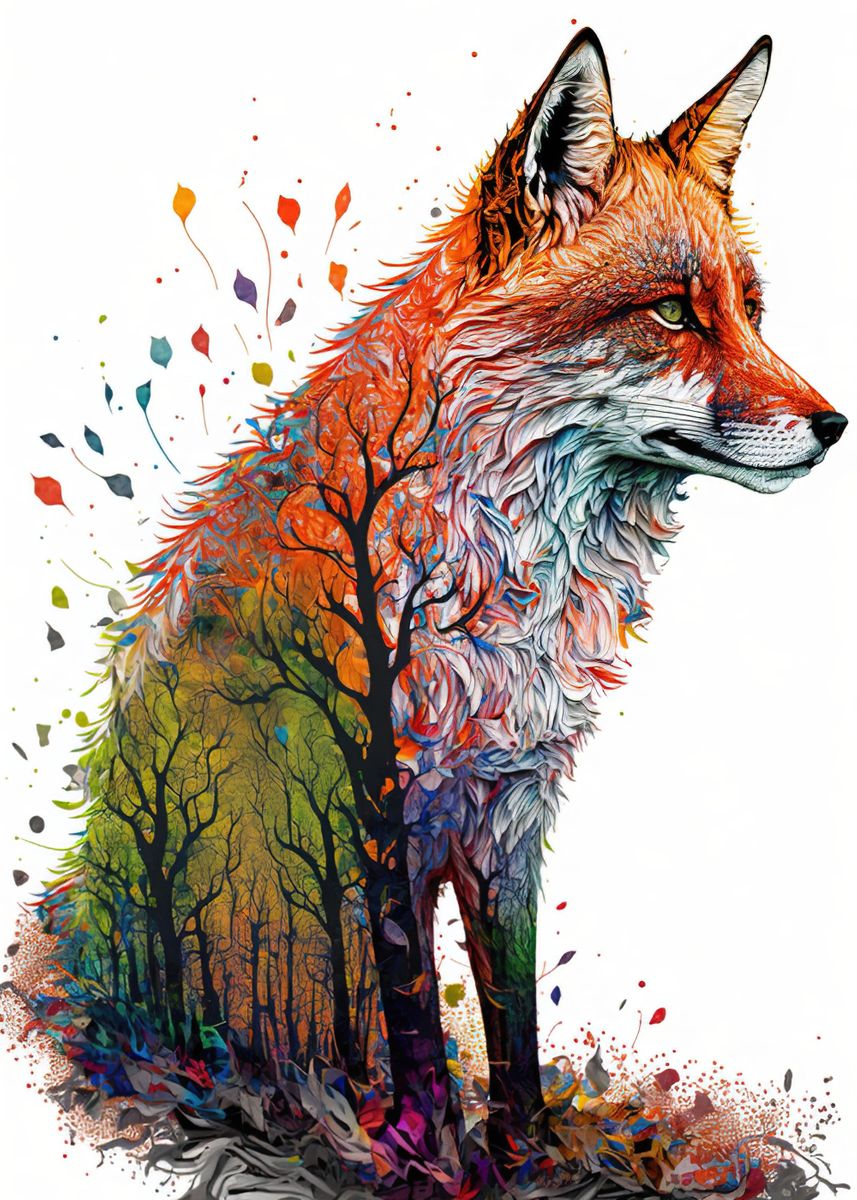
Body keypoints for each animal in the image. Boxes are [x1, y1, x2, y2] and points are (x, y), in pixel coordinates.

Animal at [33, 24, 846, 1191]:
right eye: (670, 311)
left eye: (748, 309)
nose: (832, 425)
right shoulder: (373, 806)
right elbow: (416, 1010)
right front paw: (441, 1162)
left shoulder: (508, 802)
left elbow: (509, 1012)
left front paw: (526, 1156)